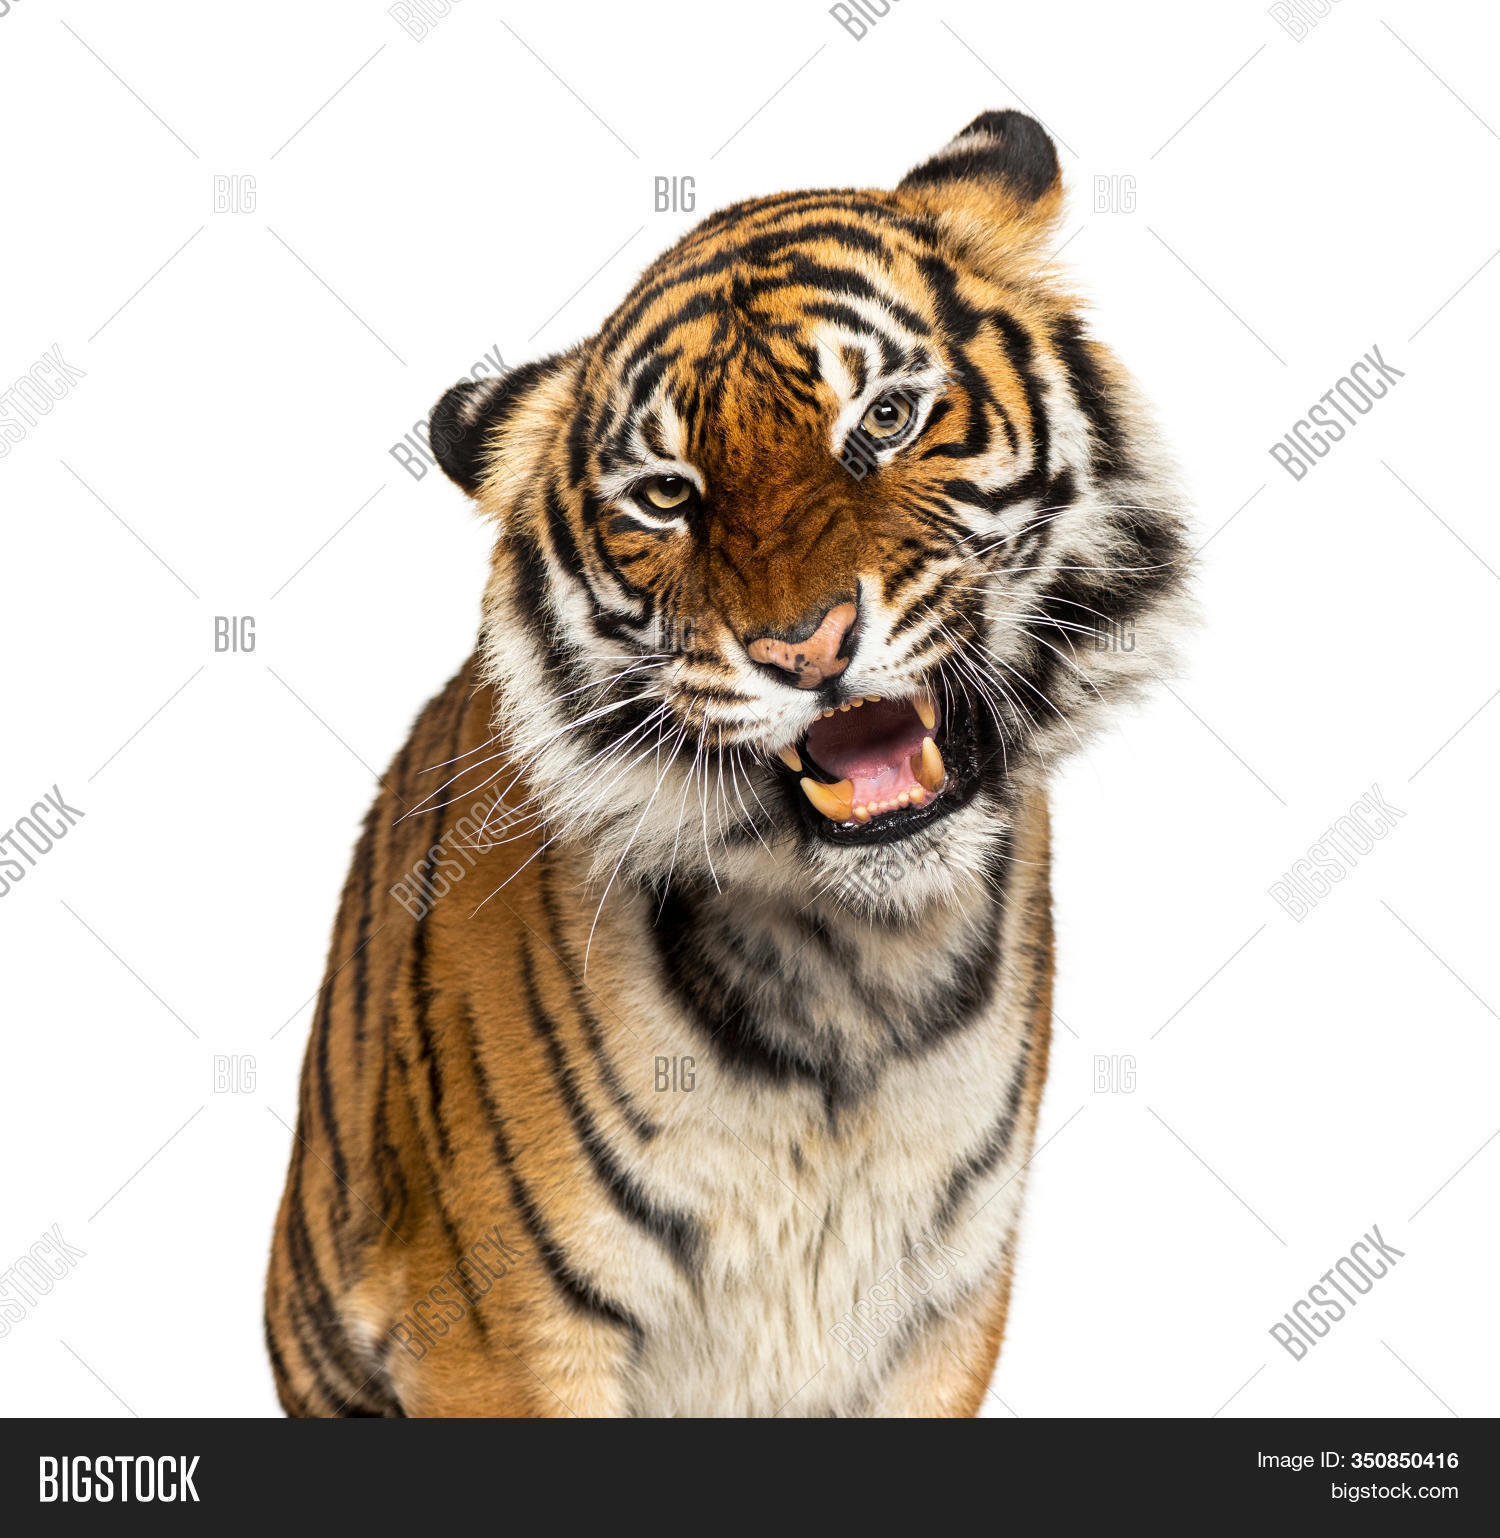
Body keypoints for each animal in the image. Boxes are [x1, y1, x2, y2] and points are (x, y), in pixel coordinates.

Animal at [265, 110, 1190, 1418]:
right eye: (666, 495)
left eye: (886, 419)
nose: (804, 648)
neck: (858, 975)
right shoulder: (496, 1331)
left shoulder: (942, 1318)